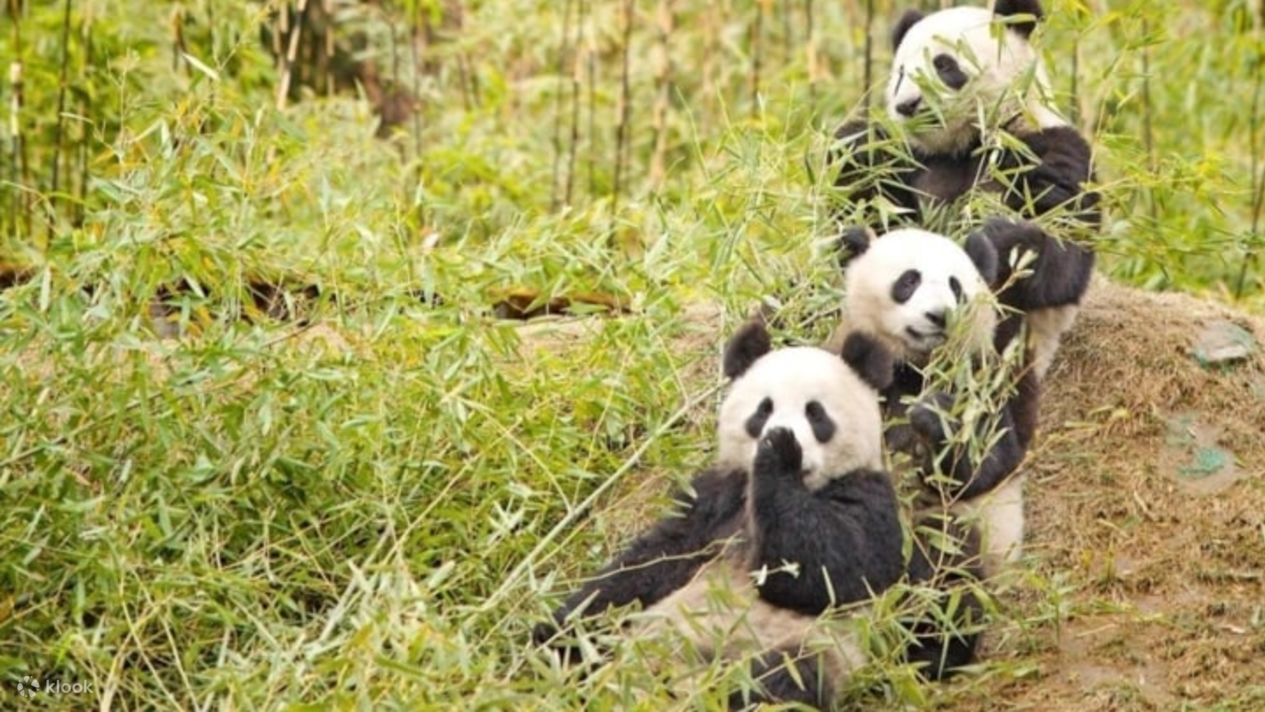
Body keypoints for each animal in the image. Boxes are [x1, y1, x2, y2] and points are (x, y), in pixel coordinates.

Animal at [534, 320, 981, 709]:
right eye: (763, 409)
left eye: (816, 413)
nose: (781, 433)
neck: (804, 487)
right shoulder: (718, 499)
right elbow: (651, 562)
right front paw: (555, 624)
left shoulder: (870, 498)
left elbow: (833, 569)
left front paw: (779, 454)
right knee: (588, 641)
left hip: (802, 647)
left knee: (776, 682)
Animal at [831, 0, 1099, 380]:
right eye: (900, 73)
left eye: (944, 65)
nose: (907, 105)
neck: (969, 141)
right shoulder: (918, 163)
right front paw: (857, 147)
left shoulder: (1047, 147)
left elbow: (1060, 251)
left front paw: (996, 237)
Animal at [835, 225, 1037, 579]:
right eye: (909, 281)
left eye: (956, 286)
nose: (939, 316)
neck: (918, 366)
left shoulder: (979, 382)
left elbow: (988, 462)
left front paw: (935, 415)